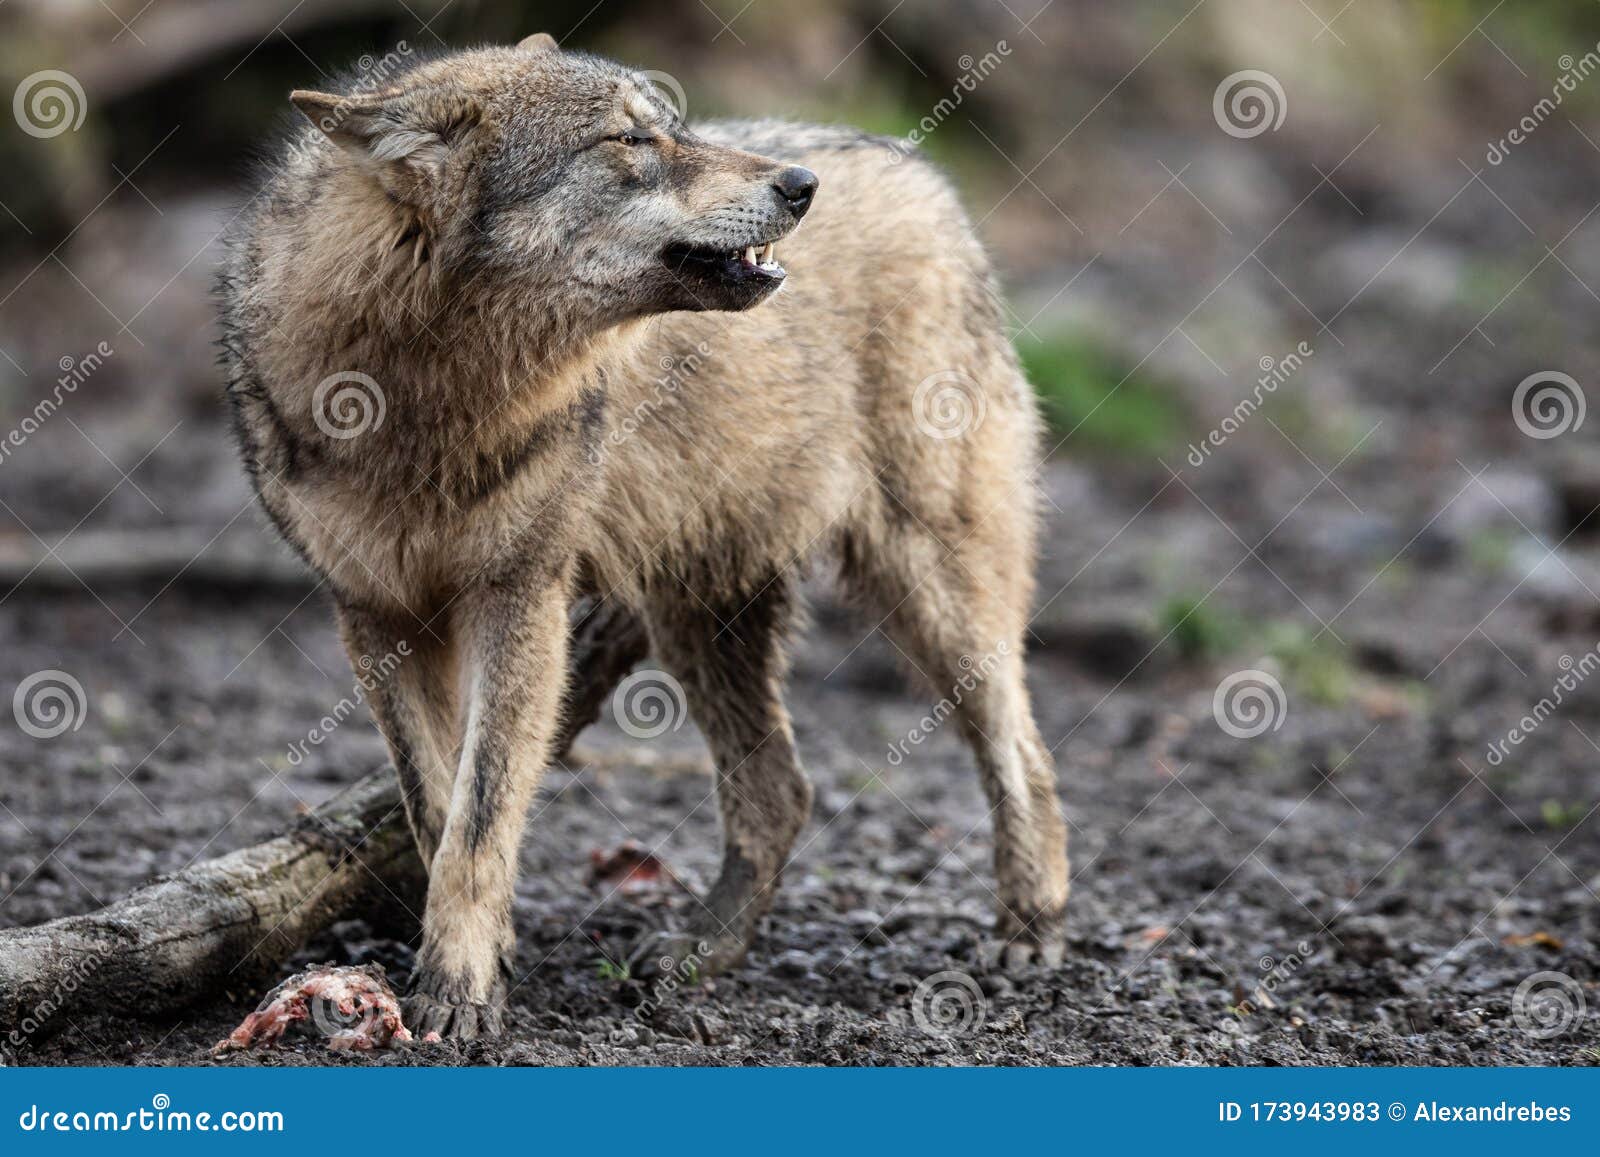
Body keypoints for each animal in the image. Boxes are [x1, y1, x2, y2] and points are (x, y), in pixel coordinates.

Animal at [218, 32, 1068, 1040]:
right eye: (630, 140)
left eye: (673, 126)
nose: (802, 186)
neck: (426, 398)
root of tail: (922, 170)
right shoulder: (377, 615)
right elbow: (436, 809)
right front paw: (484, 959)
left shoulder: (522, 597)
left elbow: (479, 812)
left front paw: (458, 987)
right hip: (700, 614)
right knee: (783, 791)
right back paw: (702, 953)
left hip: (929, 592)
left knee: (1021, 751)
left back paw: (1030, 928)